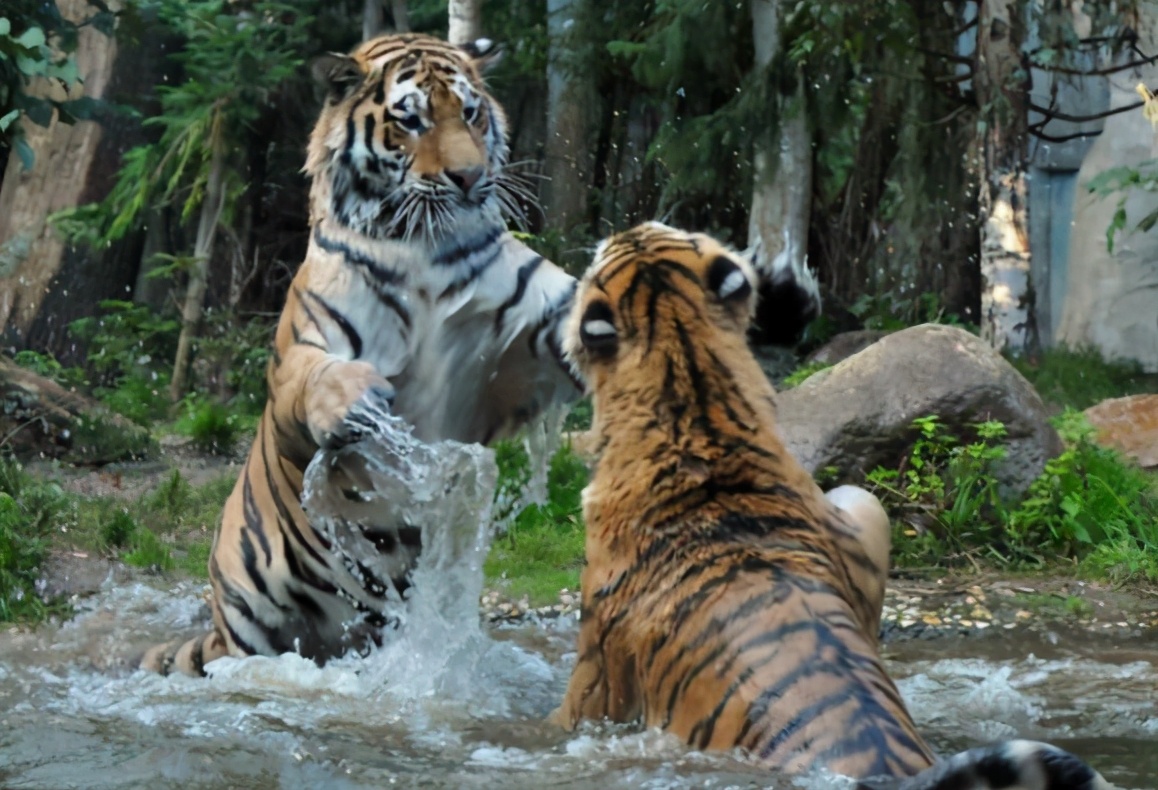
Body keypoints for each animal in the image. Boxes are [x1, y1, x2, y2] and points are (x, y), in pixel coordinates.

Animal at [552, 221, 1109, 790]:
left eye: (604, 260)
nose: (632, 228)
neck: (697, 409)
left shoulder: (596, 659)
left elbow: (571, 711)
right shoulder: (863, 521)